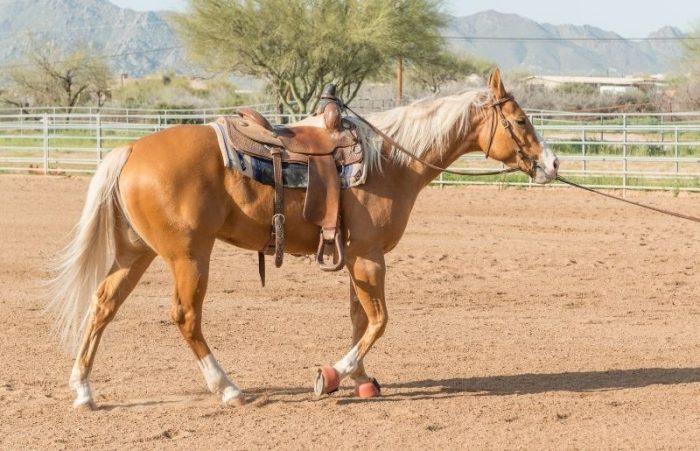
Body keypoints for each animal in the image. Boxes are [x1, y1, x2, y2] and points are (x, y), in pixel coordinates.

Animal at [49, 68, 559, 409]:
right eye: (520, 120)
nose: (552, 164)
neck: (388, 162)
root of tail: (131, 149)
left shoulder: (356, 257)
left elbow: (359, 317)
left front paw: (362, 379)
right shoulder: (369, 256)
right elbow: (379, 320)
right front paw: (331, 375)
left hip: (136, 253)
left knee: (103, 306)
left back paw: (83, 390)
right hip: (188, 256)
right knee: (186, 318)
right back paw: (228, 389)